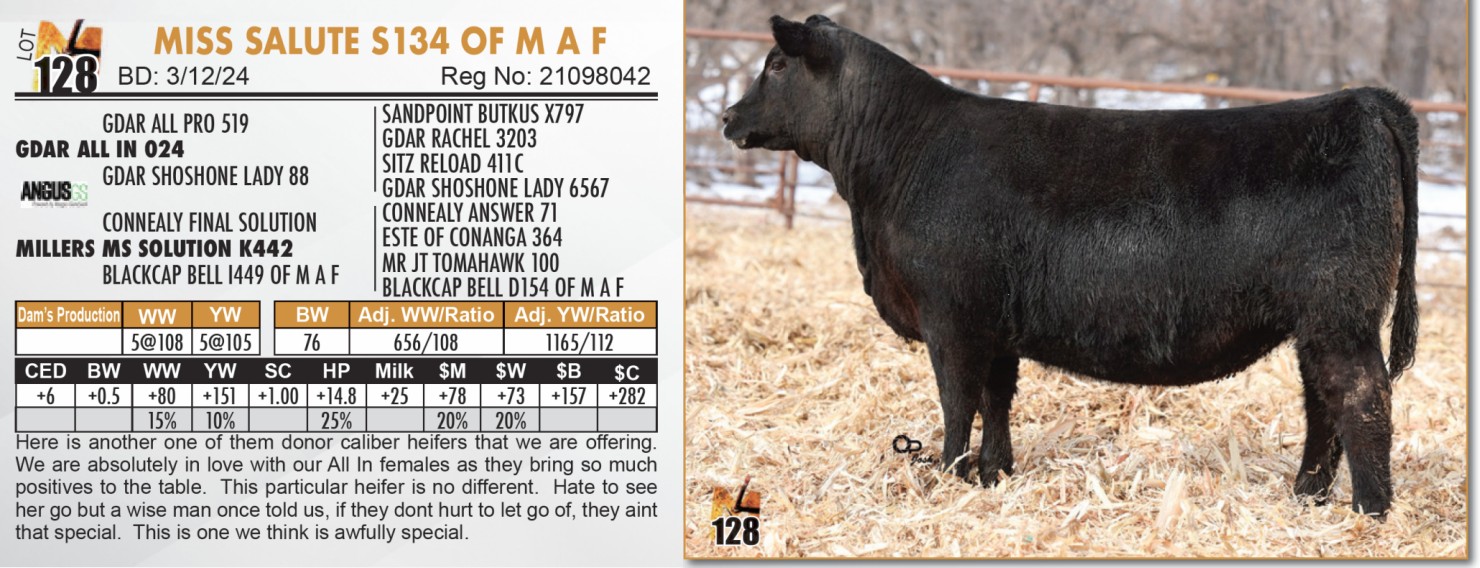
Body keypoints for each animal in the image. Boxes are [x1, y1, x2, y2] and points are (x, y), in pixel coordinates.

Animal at [721, 15, 1419, 518]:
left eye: (776, 64)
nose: (727, 116)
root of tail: (1361, 101)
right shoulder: (994, 324)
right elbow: (996, 397)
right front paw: (993, 474)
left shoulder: (952, 318)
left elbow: (957, 400)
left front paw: (947, 475)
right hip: (1316, 323)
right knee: (1322, 402)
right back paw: (1308, 496)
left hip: (1339, 314)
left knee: (1361, 396)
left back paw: (1369, 511)